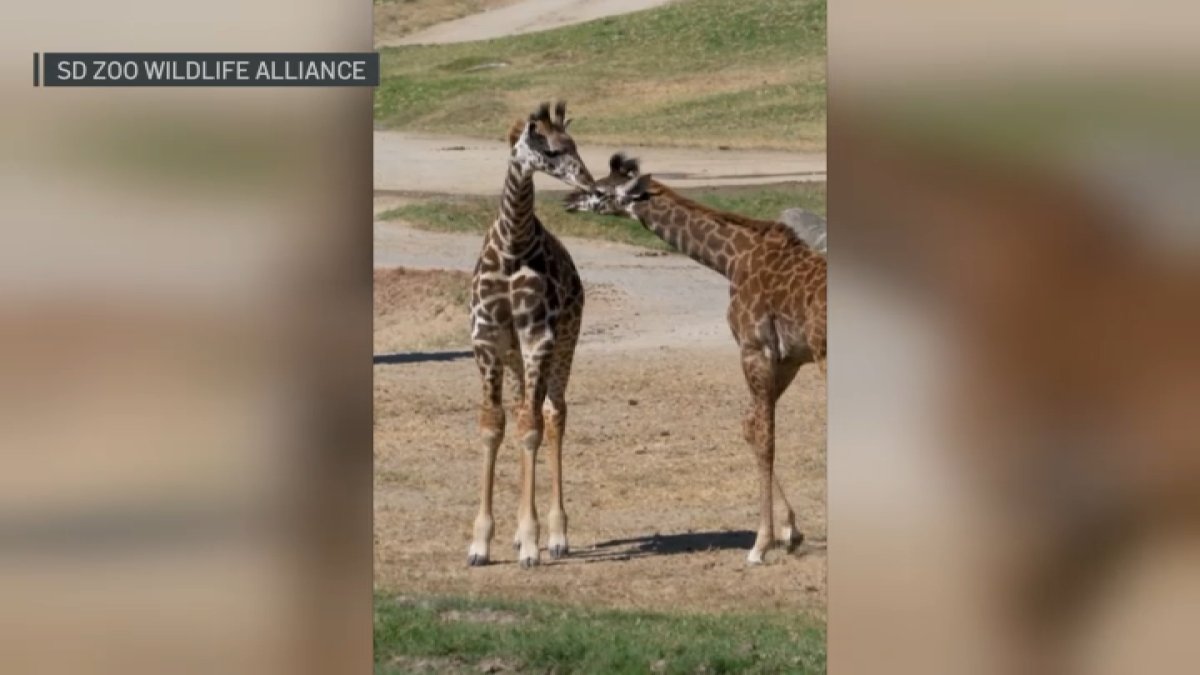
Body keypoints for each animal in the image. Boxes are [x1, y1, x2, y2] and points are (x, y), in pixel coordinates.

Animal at [467, 102, 594, 569]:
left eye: (574, 143)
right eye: (550, 149)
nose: (587, 181)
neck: (512, 247)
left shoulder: (538, 338)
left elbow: (532, 429)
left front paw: (531, 541)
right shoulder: (487, 341)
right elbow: (493, 425)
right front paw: (480, 544)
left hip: (564, 345)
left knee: (553, 415)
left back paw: (555, 537)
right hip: (516, 360)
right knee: (526, 408)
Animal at [564, 153, 827, 564]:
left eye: (599, 189)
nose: (568, 200)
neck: (732, 259)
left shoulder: (755, 348)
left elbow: (765, 437)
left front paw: (760, 544)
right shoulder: (788, 360)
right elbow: (751, 427)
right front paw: (790, 531)